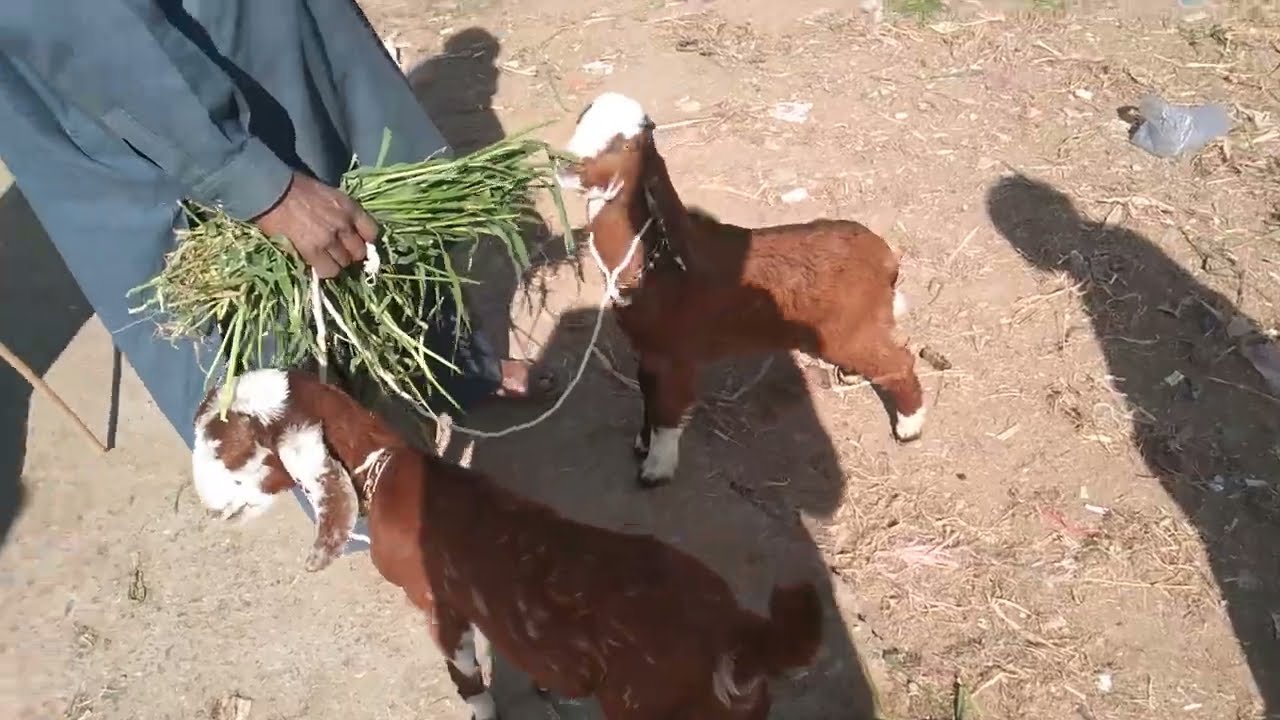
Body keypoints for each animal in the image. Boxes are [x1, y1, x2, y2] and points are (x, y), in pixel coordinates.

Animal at [190, 368, 824, 719]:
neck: (384, 468)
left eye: (226, 446)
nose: (210, 508)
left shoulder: (436, 603)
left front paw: (481, 709)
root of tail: (742, 636)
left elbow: (467, 676)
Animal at [555, 92, 926, 488]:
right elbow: (647, 397)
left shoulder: (676, 356)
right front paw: (642, 443)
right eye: (580, 122)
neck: (659, 263)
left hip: (849, 327)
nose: (564, 163)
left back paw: (910, 428)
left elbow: (667, 411)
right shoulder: (648, 352)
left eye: (626, 144)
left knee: (900, 361)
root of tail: (886, 257)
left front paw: (656, 470)